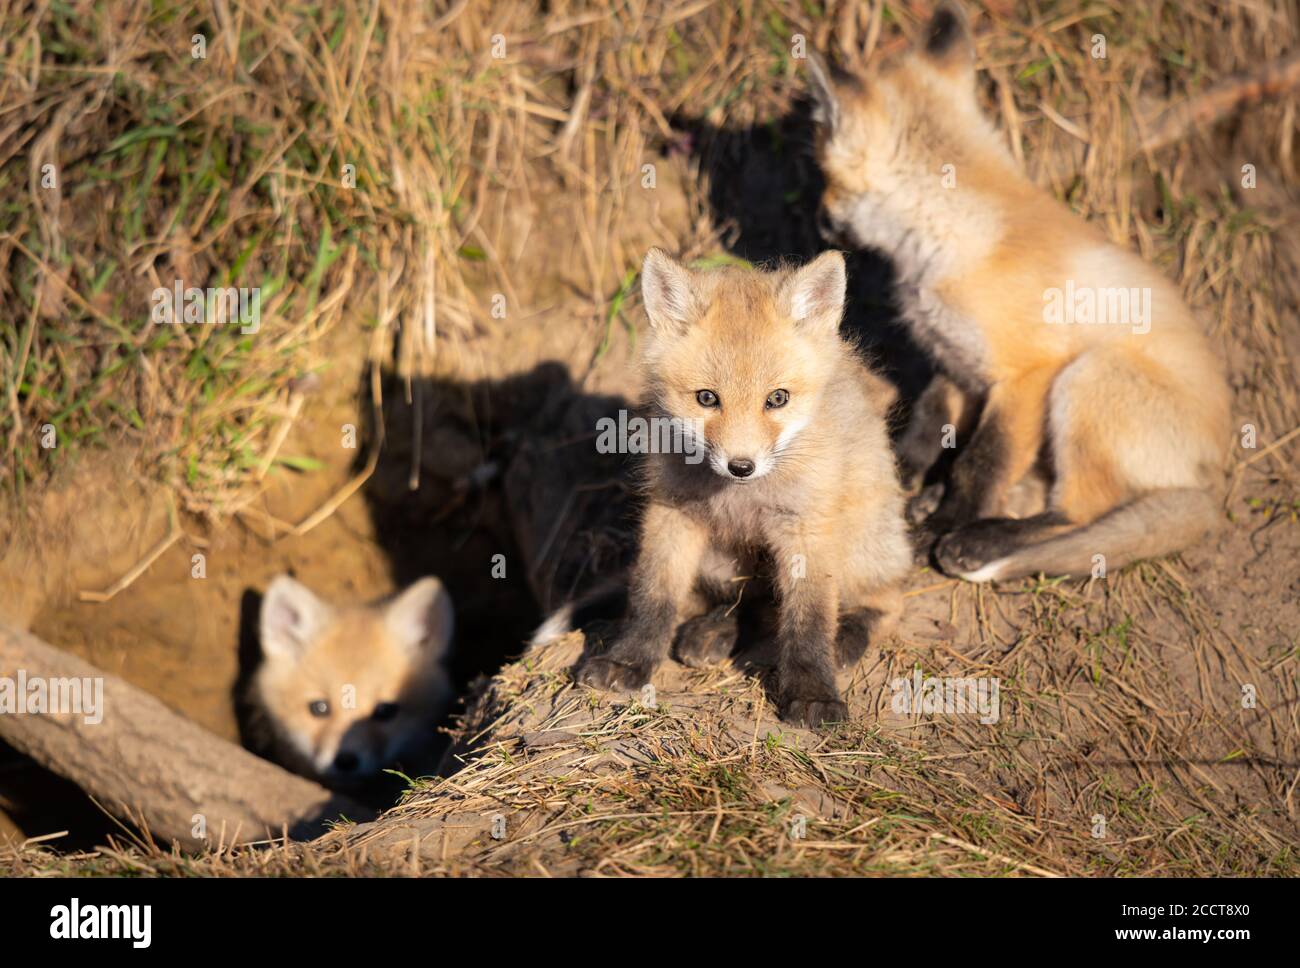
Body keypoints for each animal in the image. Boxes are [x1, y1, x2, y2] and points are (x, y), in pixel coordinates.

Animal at [575, 247, 911, 727]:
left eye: (777, 399)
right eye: (706, 398)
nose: (741, 466)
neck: (740, 497)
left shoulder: (804, 526)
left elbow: (809, 619)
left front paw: (812, 693)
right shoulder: (672, 513)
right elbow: (652, 596)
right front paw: (628, 661)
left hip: (861, 543)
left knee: (885, 600)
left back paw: (846, 635)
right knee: (751, 603)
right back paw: (716, 629)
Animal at [806, 0, 1232, 582]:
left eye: (823, 172)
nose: (817, 218)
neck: (955, 237)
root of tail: (1213, 464)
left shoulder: (1027, 374)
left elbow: (981, 463)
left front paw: (947, 524)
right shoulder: (957, 358)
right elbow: (929, 424)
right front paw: (908, 477)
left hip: (1087, 380)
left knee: (1077, 511)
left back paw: (982, 539)